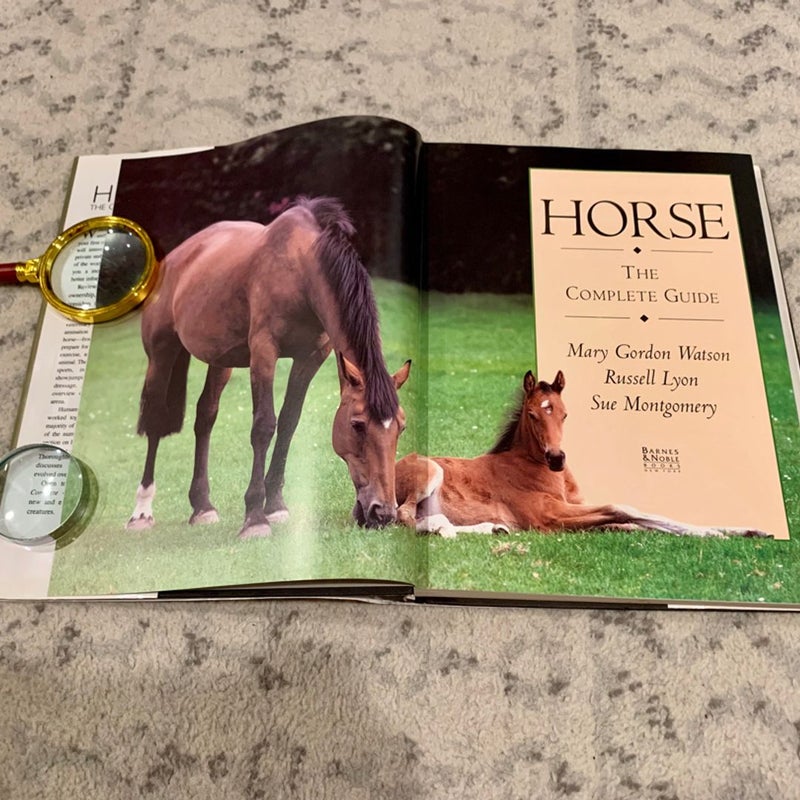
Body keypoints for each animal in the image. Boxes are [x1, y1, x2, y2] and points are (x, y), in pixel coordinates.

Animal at [126, 196, 411, 538]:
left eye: (401, 427)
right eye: (357, 425)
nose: (383, 512)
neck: (300, 269)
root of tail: (175, 258)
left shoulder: (311, 358)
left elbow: (288, 423)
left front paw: (275, 505)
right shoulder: (264, 352)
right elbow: (264, 425)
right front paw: (255, 517)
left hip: (221, 362)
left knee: (205, 417)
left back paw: (203, 506)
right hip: (162, 354)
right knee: (155, 422)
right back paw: (141, 512)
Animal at [395, 370, 770, 539]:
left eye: (564, 413)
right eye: (533, 414)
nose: (557, 458)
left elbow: (631, 521)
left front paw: (748, 530)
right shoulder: (549, 516)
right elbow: (623, 508)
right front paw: (716, 534)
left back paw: (490, 528)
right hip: (431, 473)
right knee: (404, 514)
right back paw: (444, 528)